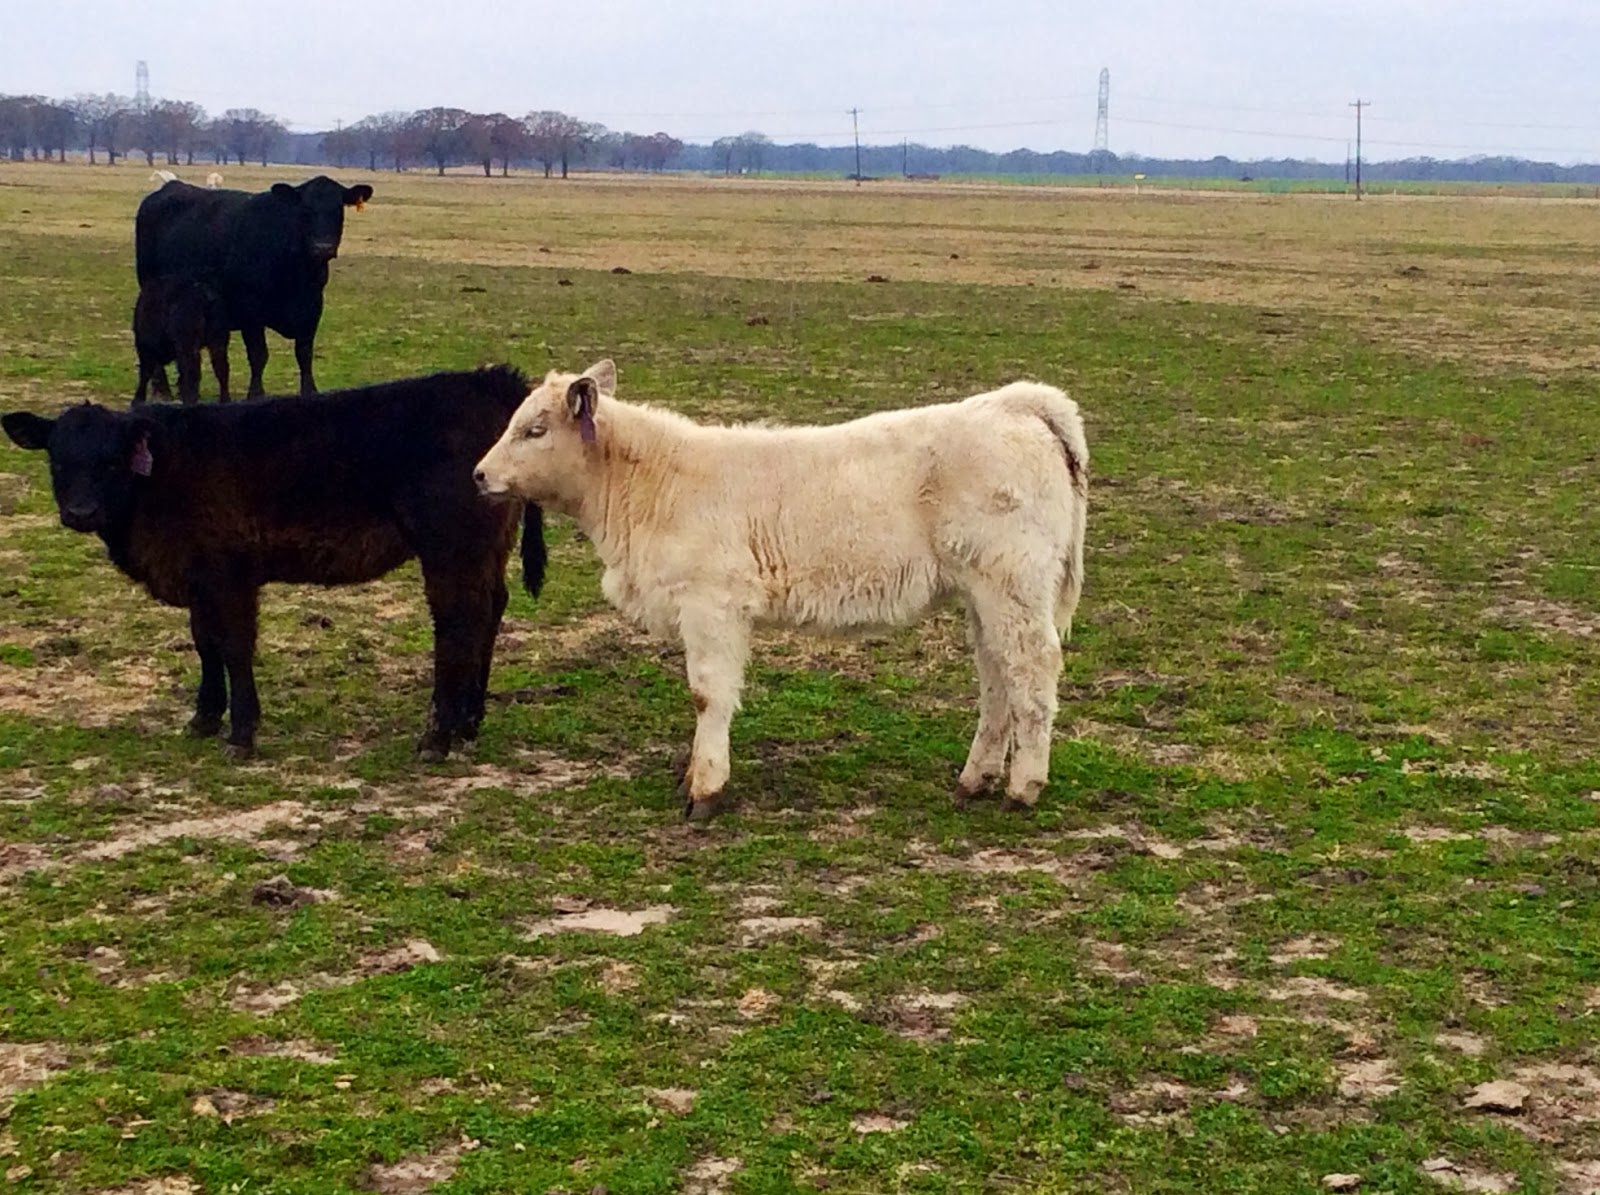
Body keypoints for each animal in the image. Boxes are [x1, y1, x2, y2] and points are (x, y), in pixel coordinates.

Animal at [3, 366, 545, 760]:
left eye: (112, 460)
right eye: (56, 460)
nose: (80, 512)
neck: (159, 476)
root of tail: (487, 380)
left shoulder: (229, 574)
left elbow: (234, 646)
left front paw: (241, 734)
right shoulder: (199, 577)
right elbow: (204, 643)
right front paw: (203, 718)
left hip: (450, 547)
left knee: (456, 624)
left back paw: (437, 736)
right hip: (487, 548)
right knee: (490, 610)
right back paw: (470, 721)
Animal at [132, 275, 230, 405]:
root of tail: (205, 295)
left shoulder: (144, 347)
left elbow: (145, 372)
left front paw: (137, 400)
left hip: (187, 345)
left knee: (192, 371)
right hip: (218, 341)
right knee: (221, 368)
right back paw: (225, 400)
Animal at [474, 361, 1089, 821]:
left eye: (534, 429)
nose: (479, 475)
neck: (653, 483)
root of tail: (1014, 404)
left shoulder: (712, 604)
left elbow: (708, 694)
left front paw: (706, 788)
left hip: (1013, 585)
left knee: (1032, 669)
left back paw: (1023, 787)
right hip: (985, 595)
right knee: (997, 677)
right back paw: (975, 779)